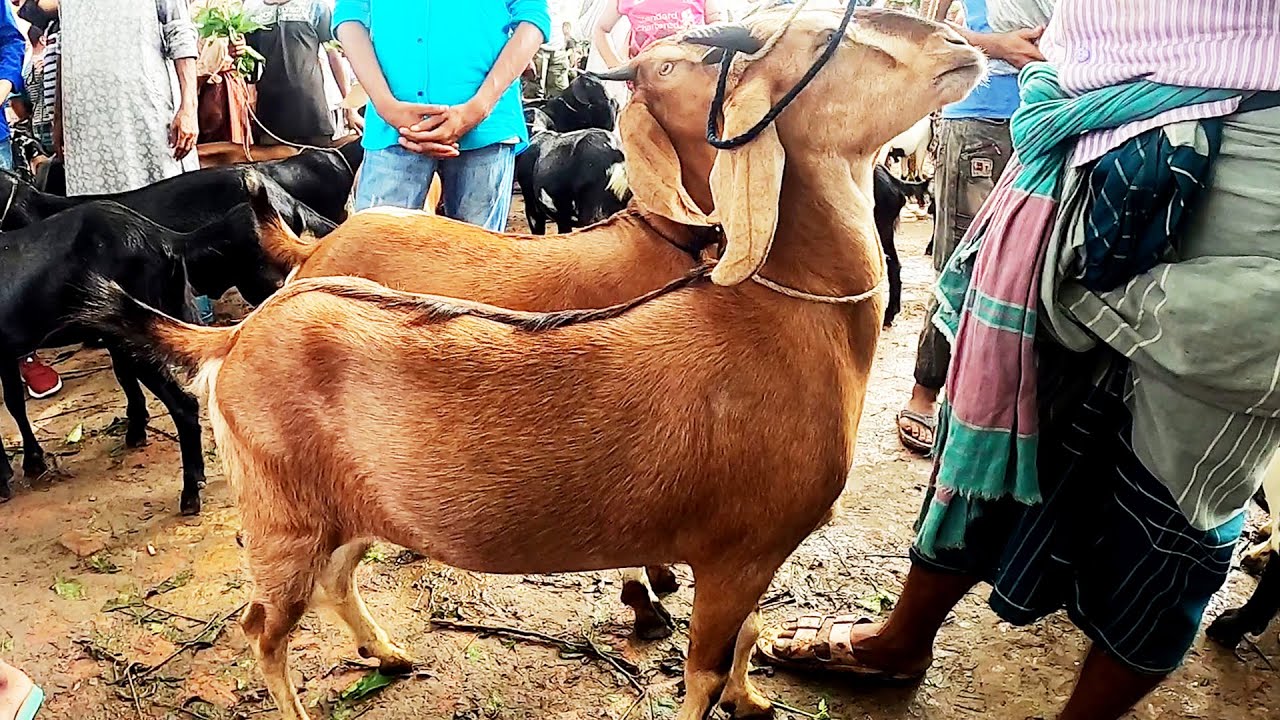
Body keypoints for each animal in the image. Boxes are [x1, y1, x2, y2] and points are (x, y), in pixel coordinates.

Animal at [80, 10, 983, 719]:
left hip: (338, 508)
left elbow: (747, 639)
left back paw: (391, 654)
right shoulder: (741, 547)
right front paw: (667, 615)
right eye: (812, 42)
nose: (958, 44)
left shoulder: (753, 555)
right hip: (281, 516)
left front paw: (751, 693)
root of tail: (235, 339)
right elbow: (704, 670)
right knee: (261, 628)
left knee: (332, 584)